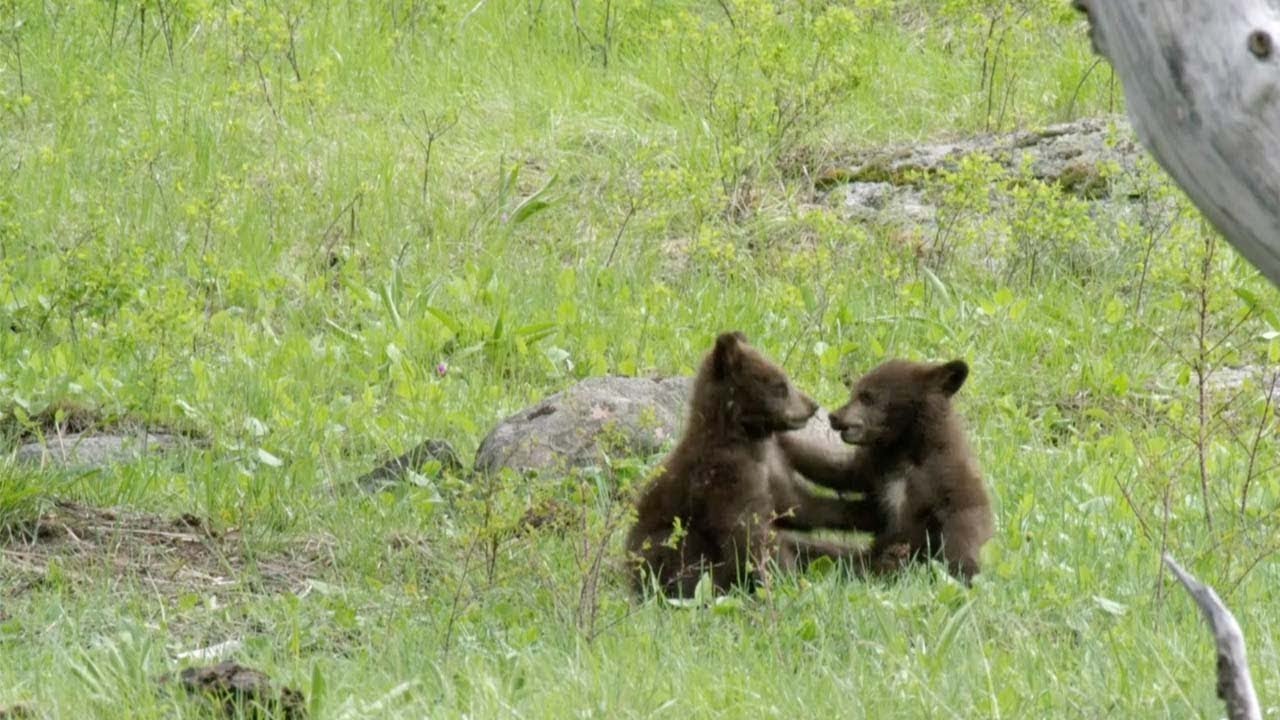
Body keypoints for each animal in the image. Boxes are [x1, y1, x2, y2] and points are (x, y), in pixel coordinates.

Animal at [624, 331, 868, 598]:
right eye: (780, 386)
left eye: (784, 378)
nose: (812, 406)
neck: (748, 438)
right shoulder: (727, 475)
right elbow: (751, 533)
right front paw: (785, 585)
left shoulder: (771, 466)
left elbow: (797, 505)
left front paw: (865, 512)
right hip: (662, 547)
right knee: (683, 552)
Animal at [778, 358, 994, 584]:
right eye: (855, 392)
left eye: (867, 396)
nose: (833, 416)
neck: (903, 449)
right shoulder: (876, 466)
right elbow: (839, 470)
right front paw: (786, 442)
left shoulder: (946, 470)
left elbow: (966, 512)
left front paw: (964, 570)